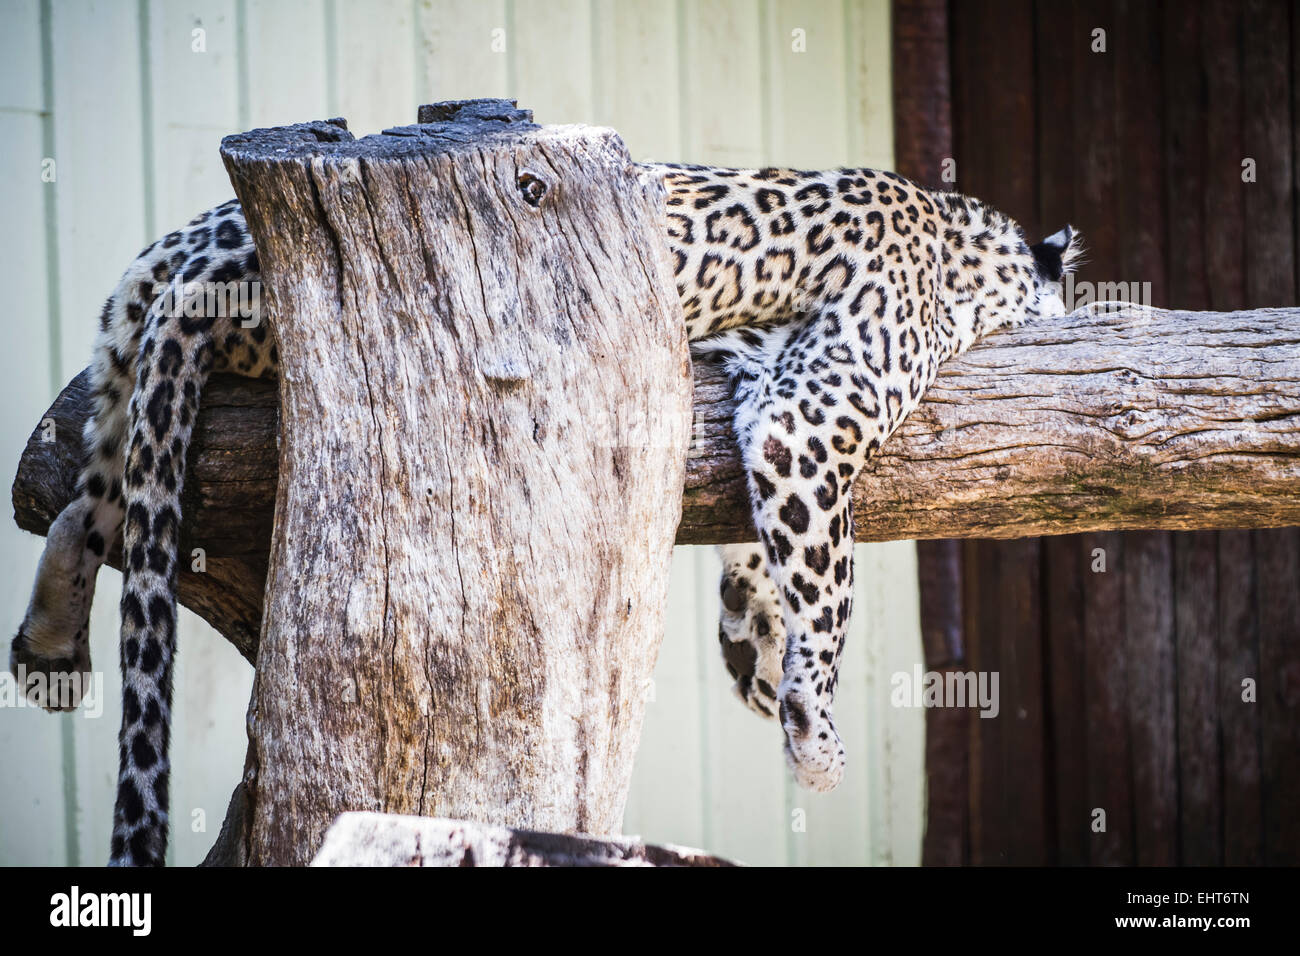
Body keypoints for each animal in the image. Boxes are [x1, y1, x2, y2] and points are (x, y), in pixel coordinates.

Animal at [10, 157, 1080, 865]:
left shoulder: (760, 383)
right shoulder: (808, 415)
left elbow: (770, 547)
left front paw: (750, 643)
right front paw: (815, 734)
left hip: (126, 357)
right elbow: (831, 582)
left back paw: (49, 639)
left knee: (91, 484)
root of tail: (194, 266)